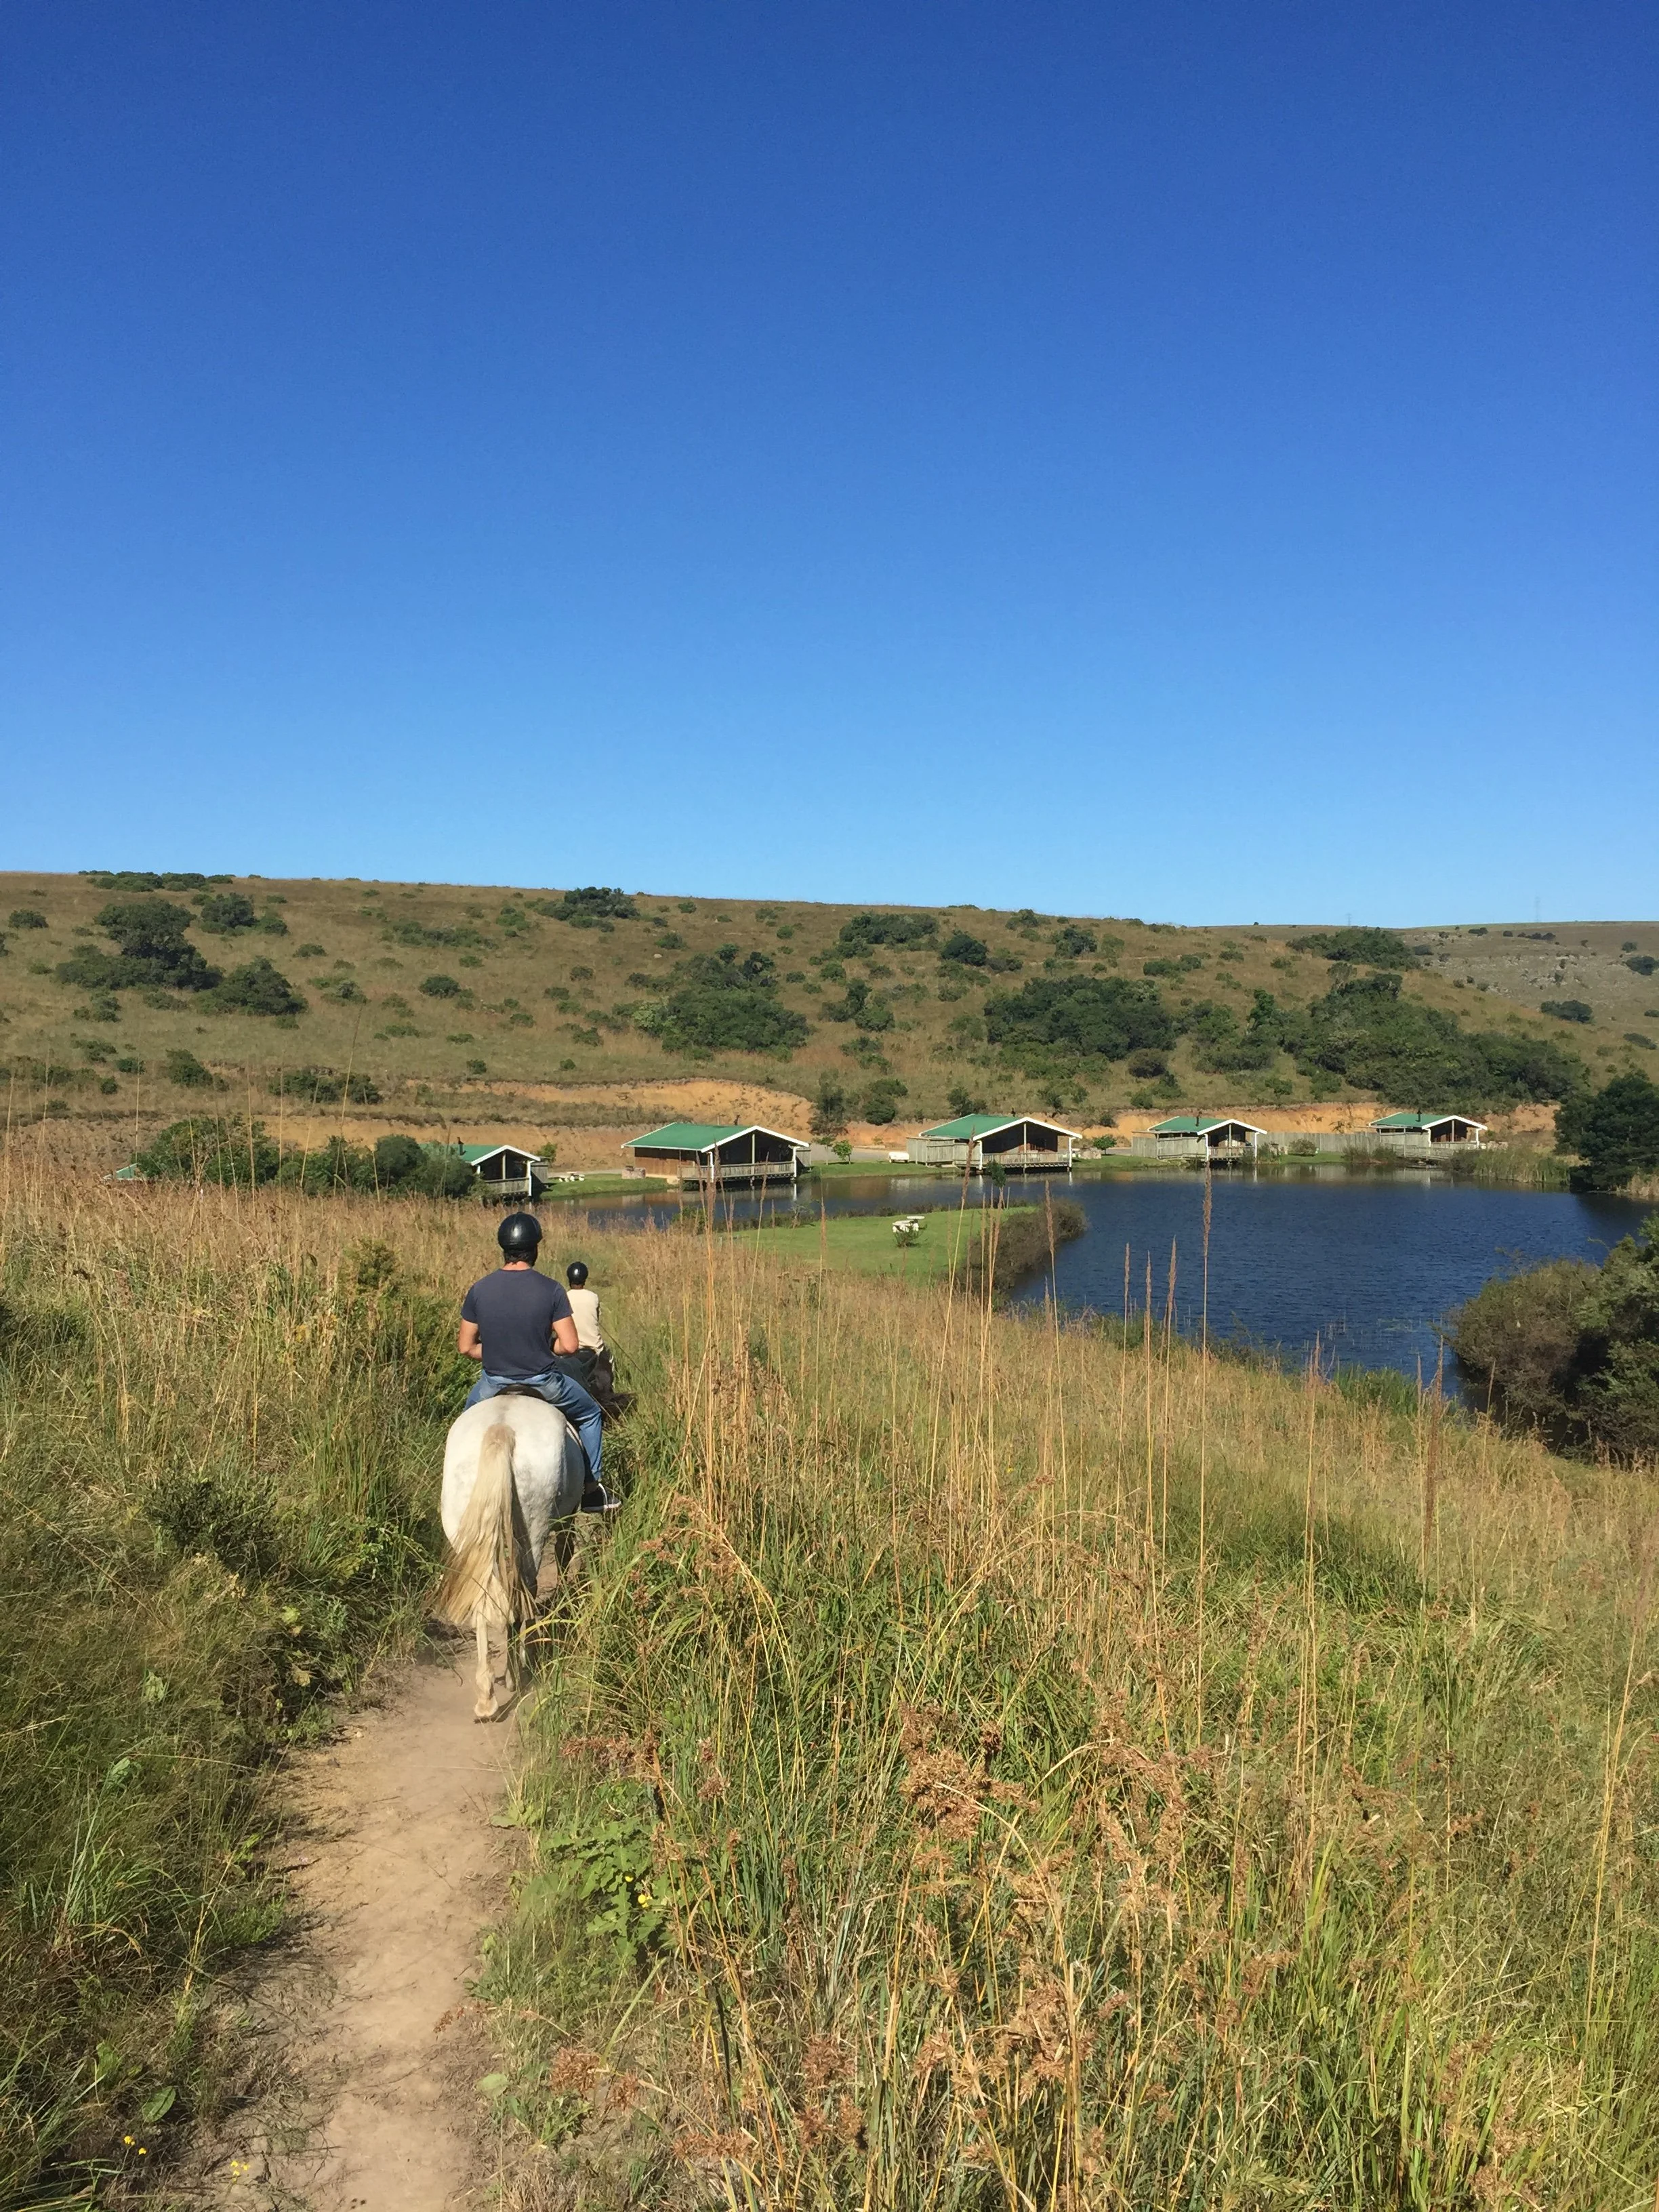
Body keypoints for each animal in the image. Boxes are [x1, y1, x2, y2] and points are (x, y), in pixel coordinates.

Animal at [432, 1393, 585, 1719]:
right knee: (522, 1590)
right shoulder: (567, 1518)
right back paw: (517, 1674)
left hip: (466, 1526)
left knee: (481, 1595)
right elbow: (564, 1554)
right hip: (534, 1529)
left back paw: (486, 1696)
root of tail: (501, 1429)